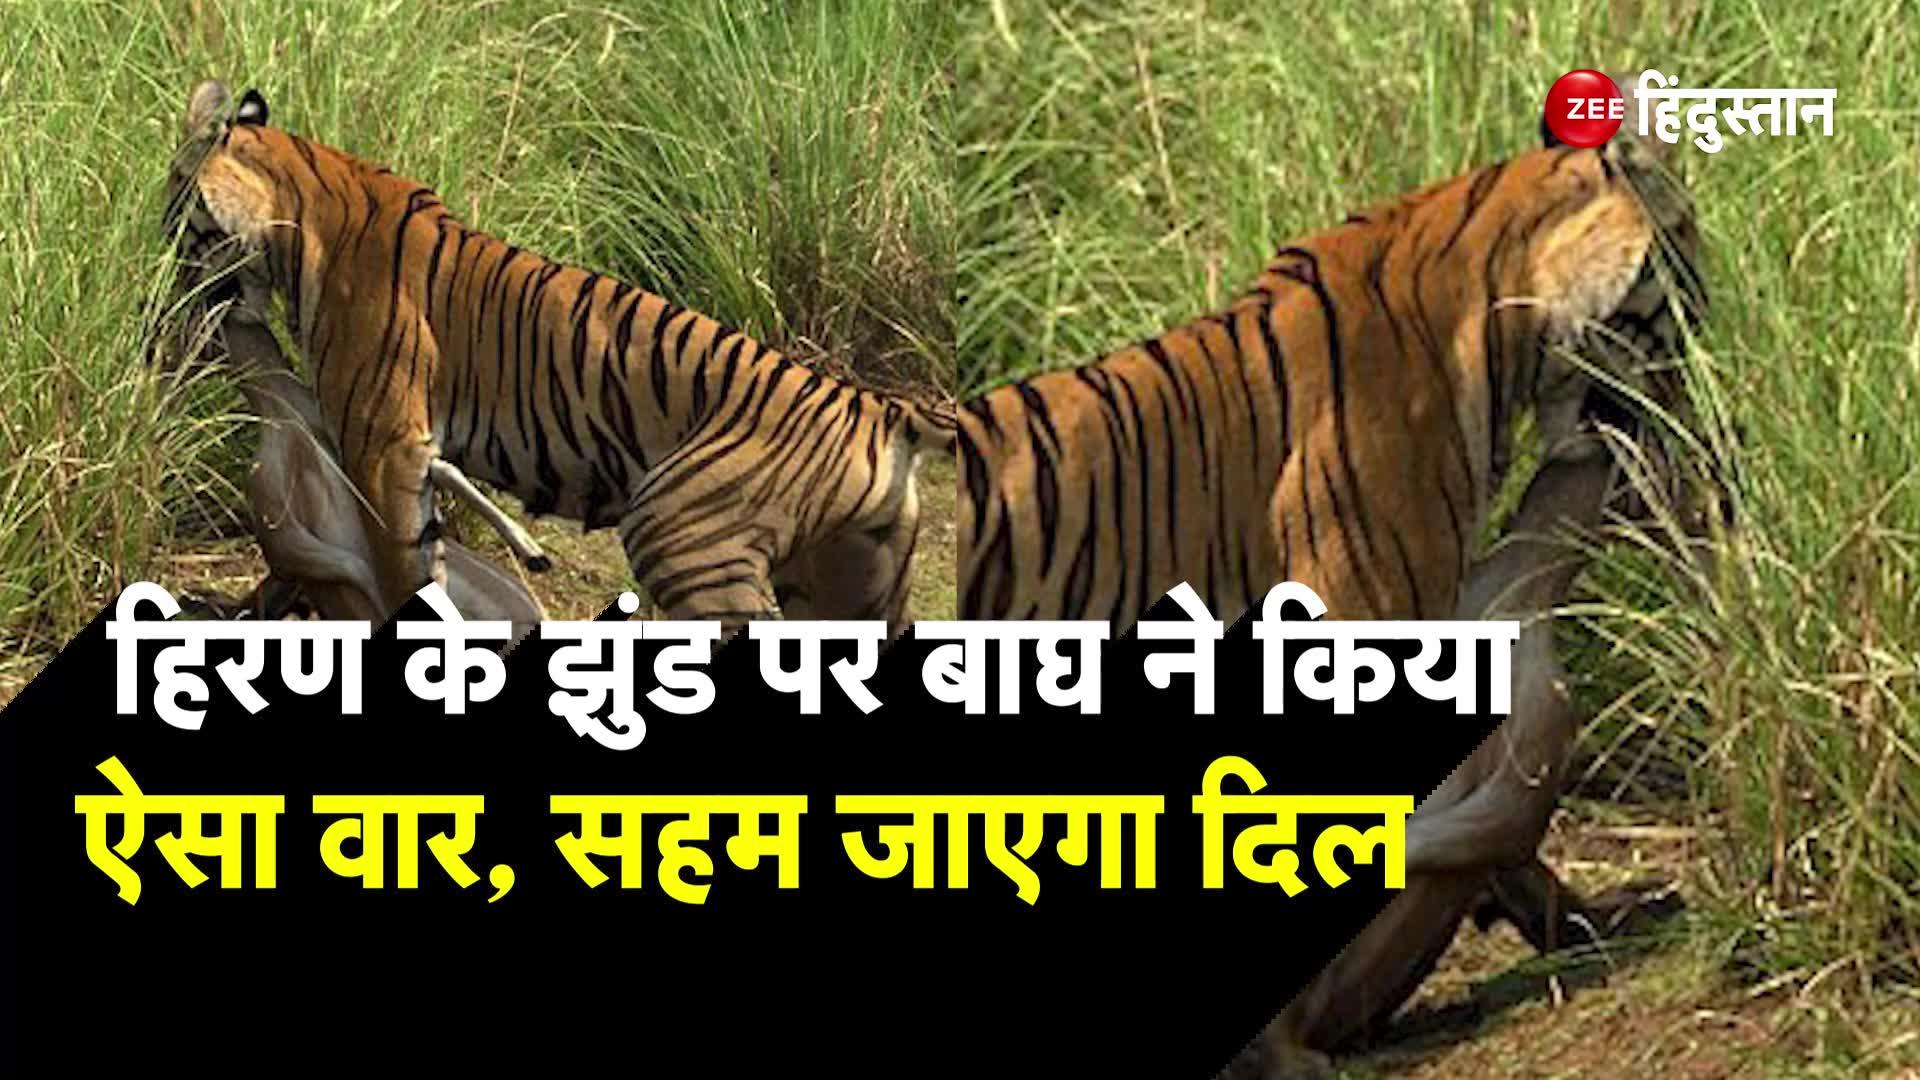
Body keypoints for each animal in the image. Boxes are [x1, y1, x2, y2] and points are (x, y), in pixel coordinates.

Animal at [152, 79, 956, 635]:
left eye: (175, 215)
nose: (161, 282)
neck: (301, 204)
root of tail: (879, 408)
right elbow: (422, 558)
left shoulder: (383, 445)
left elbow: (398, 566)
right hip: (853, 580)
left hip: (681, 533)